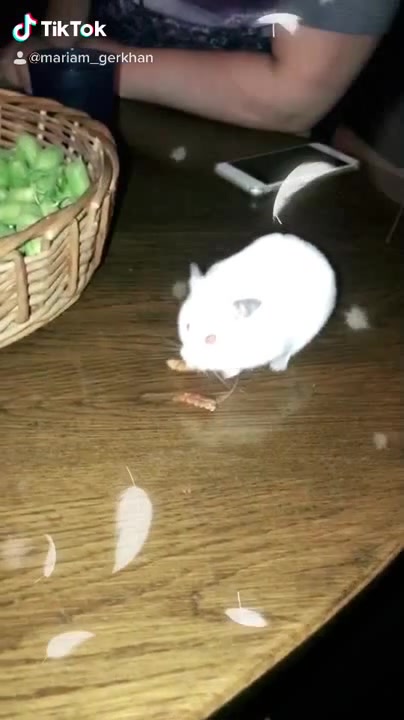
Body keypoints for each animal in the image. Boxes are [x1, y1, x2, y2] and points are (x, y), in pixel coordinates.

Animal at [177, 233, 337, 379]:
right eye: (187, 326)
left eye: (211, 339)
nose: (186, 359)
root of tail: (315, 249)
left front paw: (227, 374)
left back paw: (276, 367)